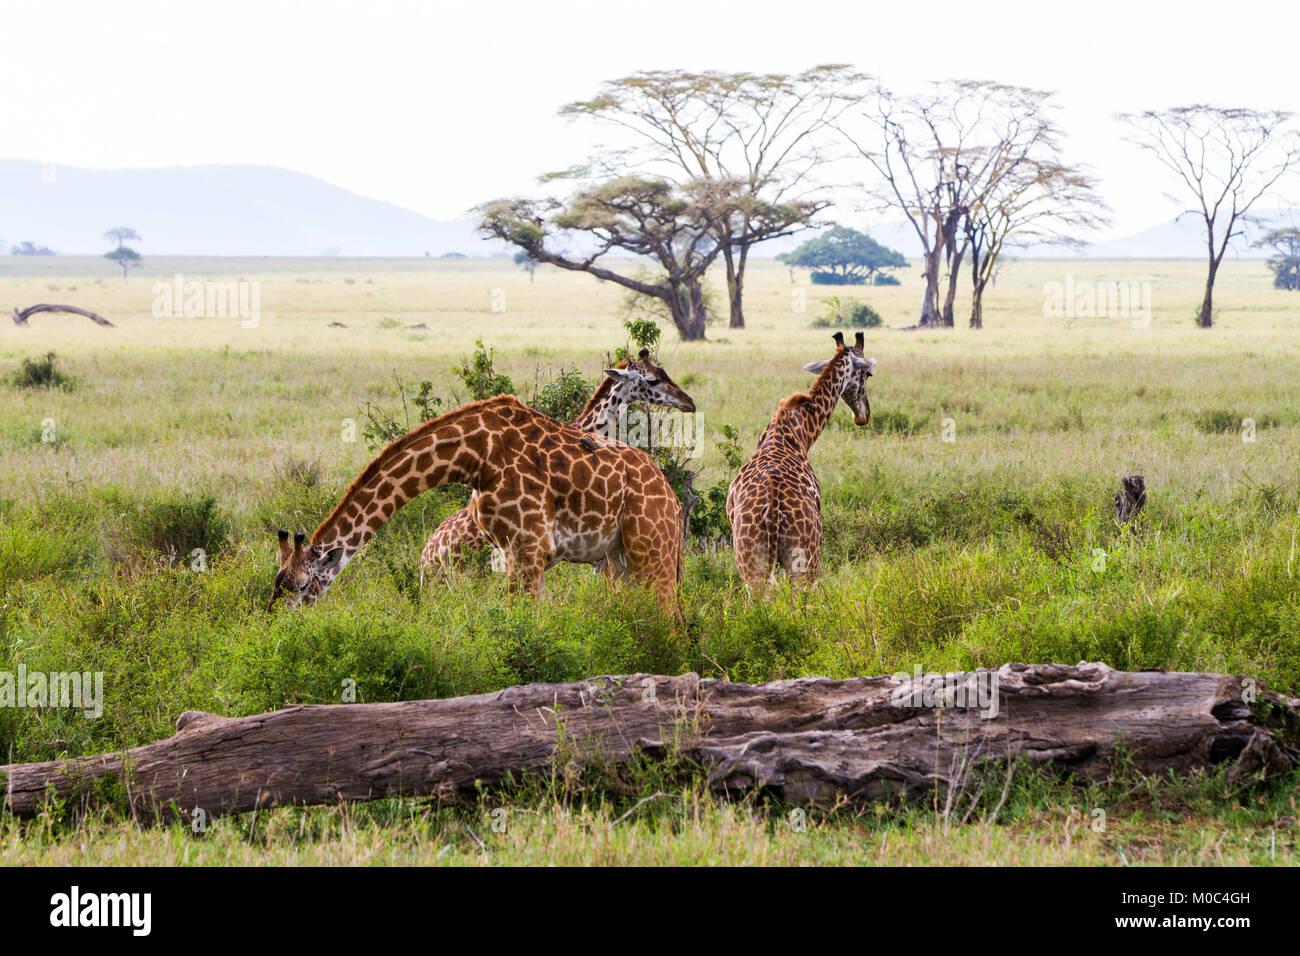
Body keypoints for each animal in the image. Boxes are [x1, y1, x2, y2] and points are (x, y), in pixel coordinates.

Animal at [267, 394, 685, 614]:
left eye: (301, 586)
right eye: (277, 582)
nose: (274, 626)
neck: (474, 456)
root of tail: (673, 499)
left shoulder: (529, 548)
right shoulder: (521, 553)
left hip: (652, 549)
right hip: (620, 559)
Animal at [725, 331, 876, 590]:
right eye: (867, 374)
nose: (863, 416)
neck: (801, 431)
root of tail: (772, 511)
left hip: (750, 564)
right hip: (806, 561)